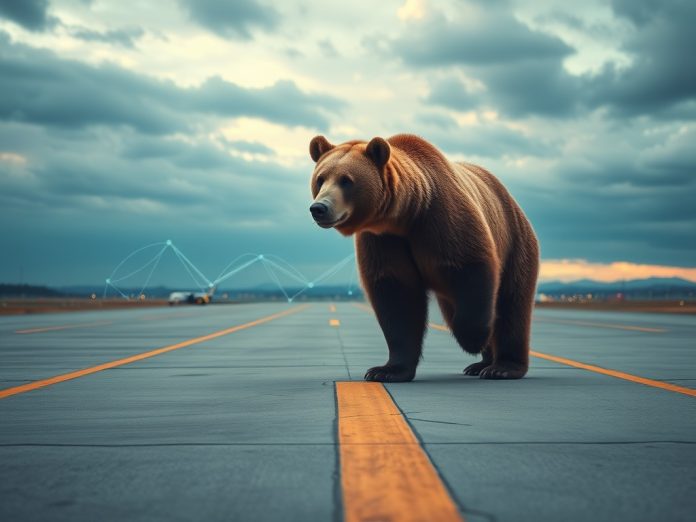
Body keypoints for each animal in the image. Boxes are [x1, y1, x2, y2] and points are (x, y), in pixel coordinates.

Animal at [308, 134, 539, 382]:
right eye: (320, 179)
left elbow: (472, 267)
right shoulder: (383, 240)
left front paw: (473, 338)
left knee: (512, 305)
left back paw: (502, 367)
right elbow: (396, 297)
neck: (406, 214)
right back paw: (481, 364)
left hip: (516, 243)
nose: (319, 208)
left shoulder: (442, 219)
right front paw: (386, 370)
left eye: (346, 180)